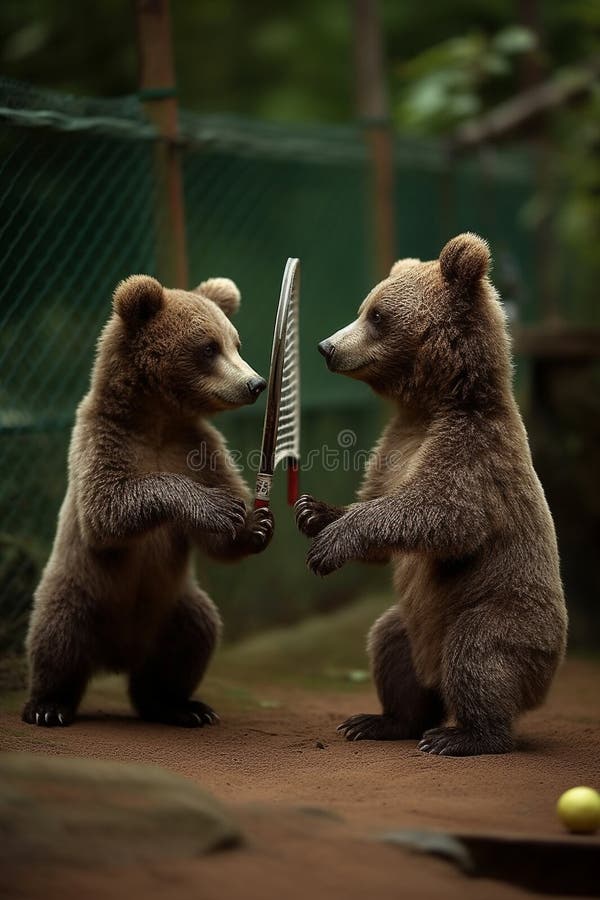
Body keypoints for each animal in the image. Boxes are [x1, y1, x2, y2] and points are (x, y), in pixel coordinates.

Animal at [23, 274, 272, 728]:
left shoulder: (199, 447)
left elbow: (219, 541)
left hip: (173, 606)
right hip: (79, 588)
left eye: (235, 342)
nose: (255, 384)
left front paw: (254, 525)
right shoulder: (104, 441)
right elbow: (108, 510)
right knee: (57, 637)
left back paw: (179, 706)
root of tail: (118, 657)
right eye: (209, 347)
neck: (157, 420)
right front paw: (219, 507)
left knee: (194, 637)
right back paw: (48, 705)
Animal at [295, 233, 567, 756]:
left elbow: (443, 515)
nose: (326, 346)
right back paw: (380, 721)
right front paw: (313, 512)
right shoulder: (394, 447)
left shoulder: (474, 453)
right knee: (389, 646)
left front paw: (329, 544)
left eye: (377, 315)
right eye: (365, 307)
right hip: (412, 624)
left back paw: (462, 736)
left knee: (478, 655)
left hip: (506, 616)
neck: (433, 403)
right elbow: (381, 515)